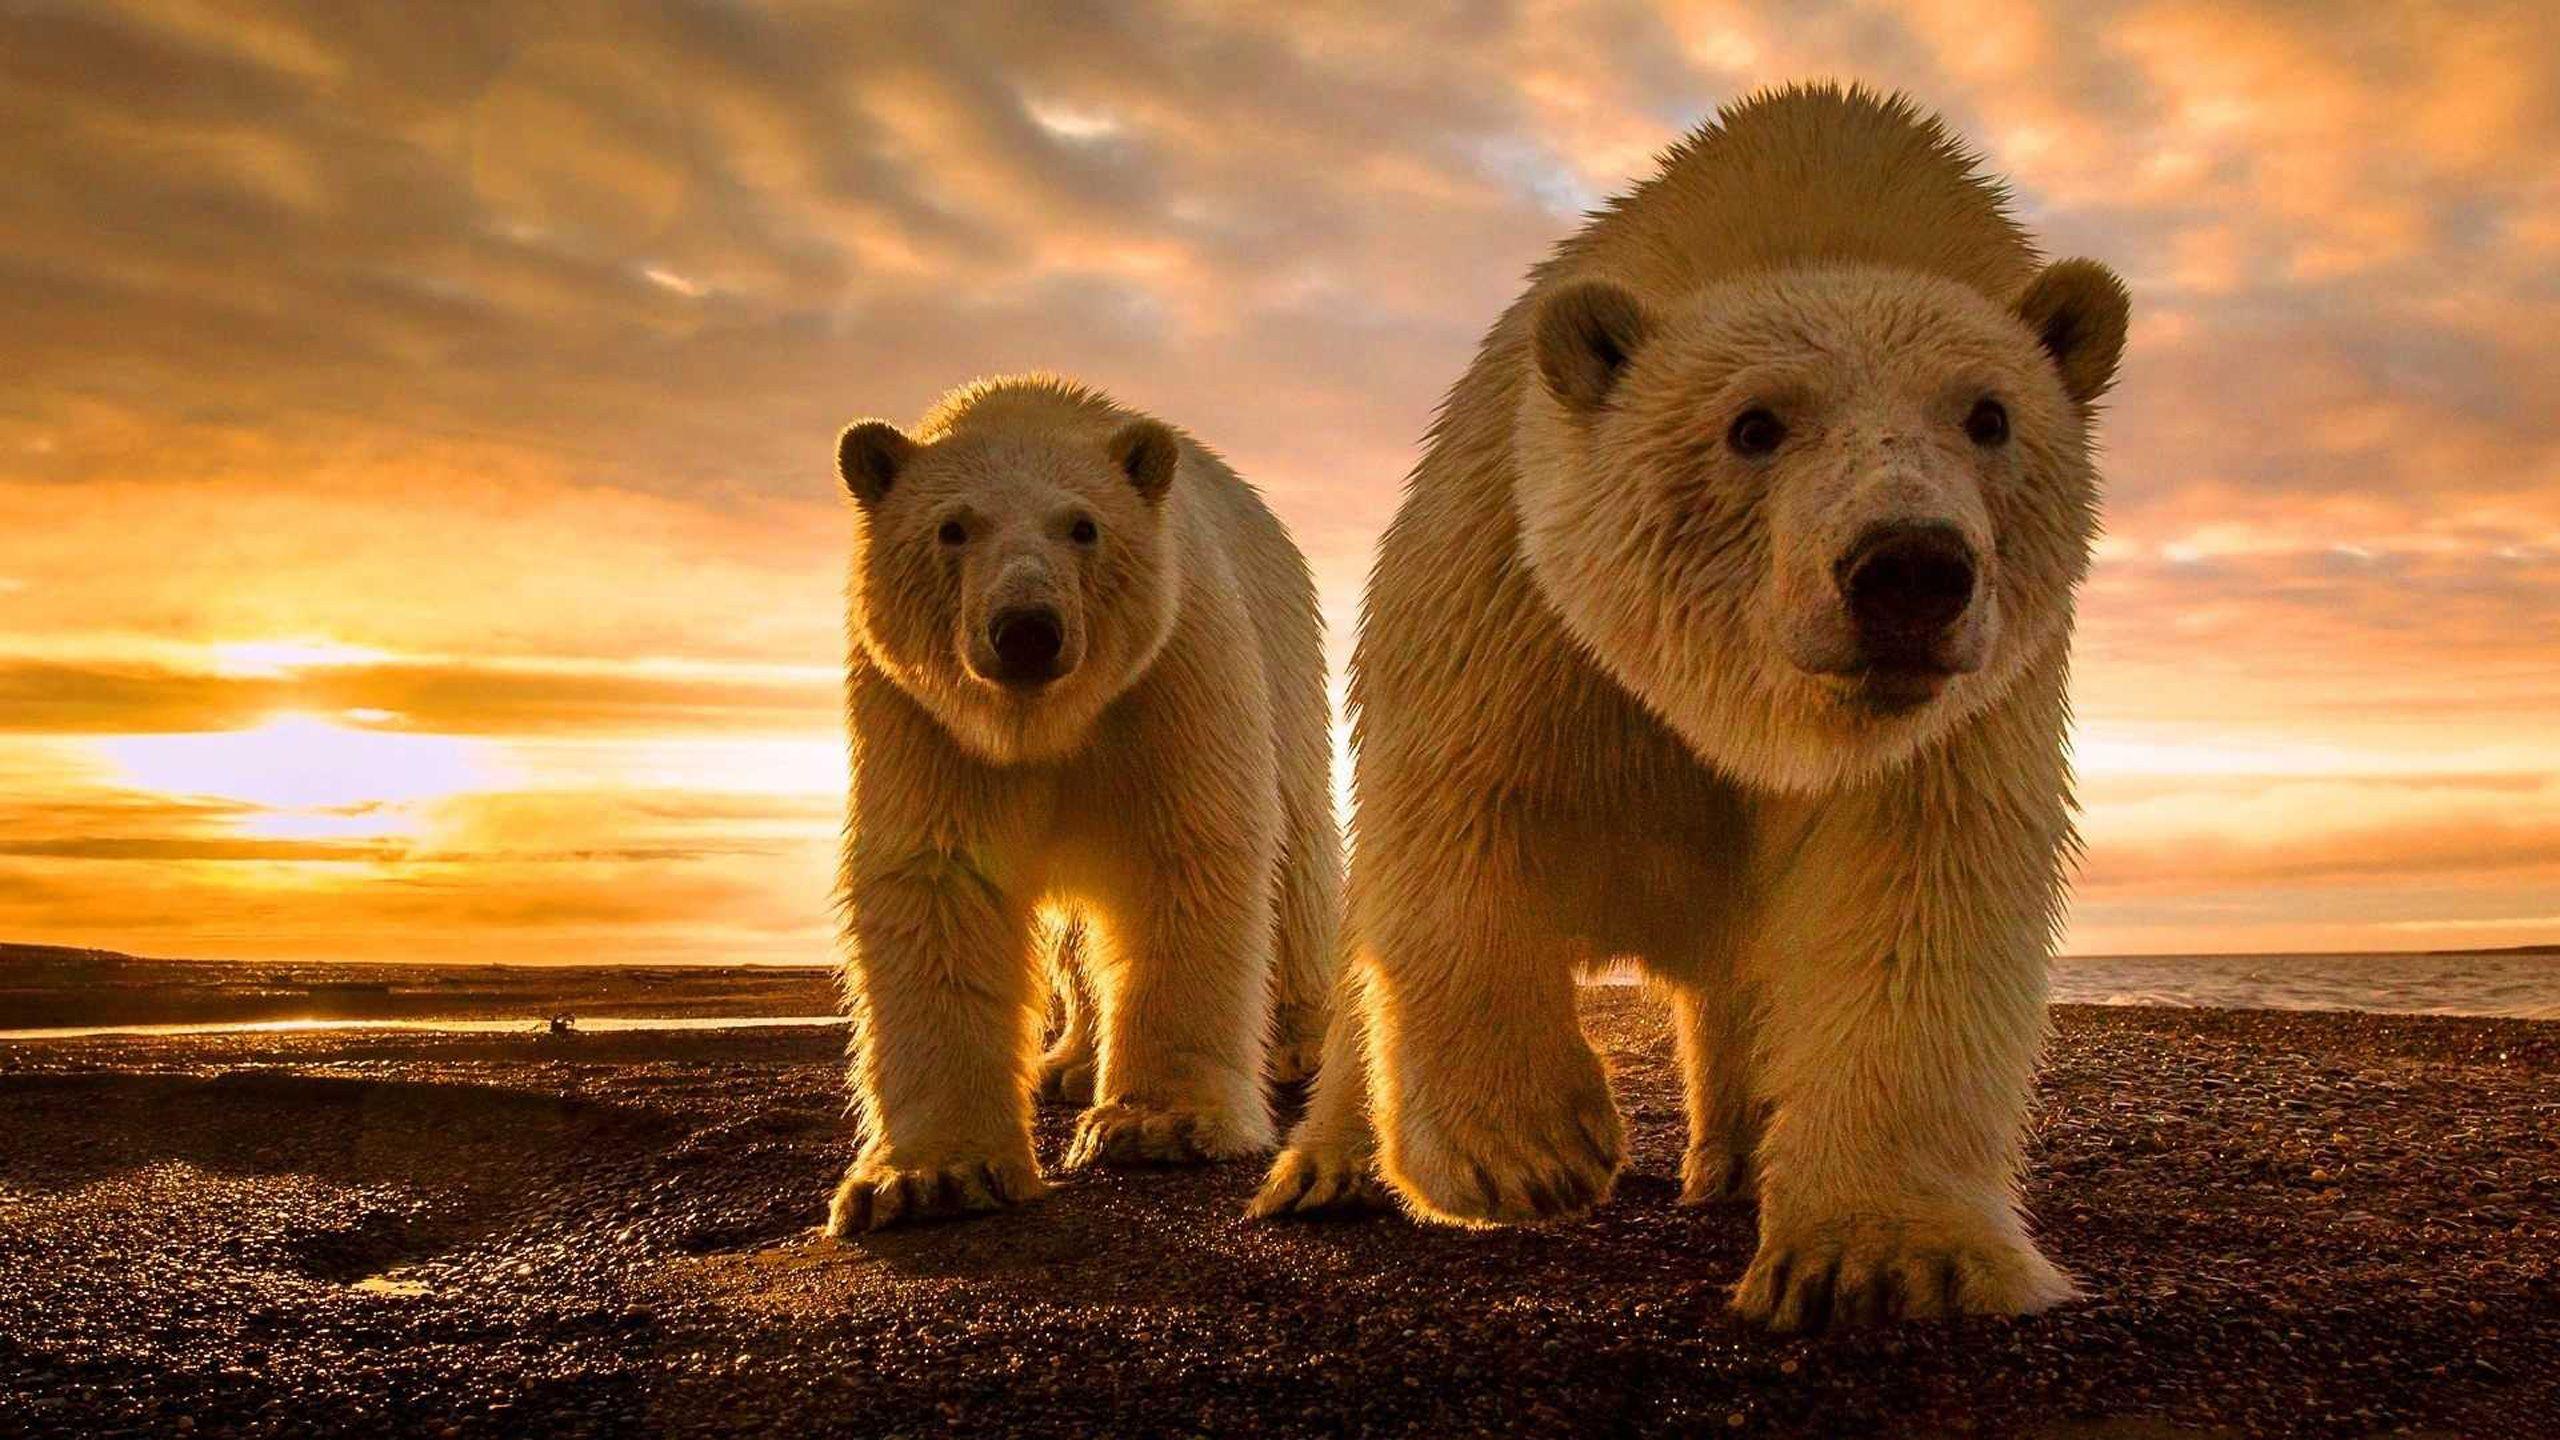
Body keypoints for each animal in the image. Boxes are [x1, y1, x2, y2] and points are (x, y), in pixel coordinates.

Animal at [825, 376, 1339, 1234]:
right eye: (952, 527)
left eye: (1084, 526)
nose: (1027, 630)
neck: (1045, 722)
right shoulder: (922, 716)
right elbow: (935, 880)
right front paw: (931, 1175)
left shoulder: (1172, 668)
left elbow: (1187, 848)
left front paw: (1156, 1123)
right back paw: (1068, 1062)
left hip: (1288, 667)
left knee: (1297, 857)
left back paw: (1296, 1041)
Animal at [1251, 84, 2129, 1332]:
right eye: (1753, 423)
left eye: (1989, 415)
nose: (1909, 570)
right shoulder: (1516, 584)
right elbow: (1460, 802)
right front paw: (1525, 1150)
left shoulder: (1965, 706)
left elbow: (1917, 891)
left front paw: (1882, 1258)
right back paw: (1327, 1167)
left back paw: (1736, 1157)